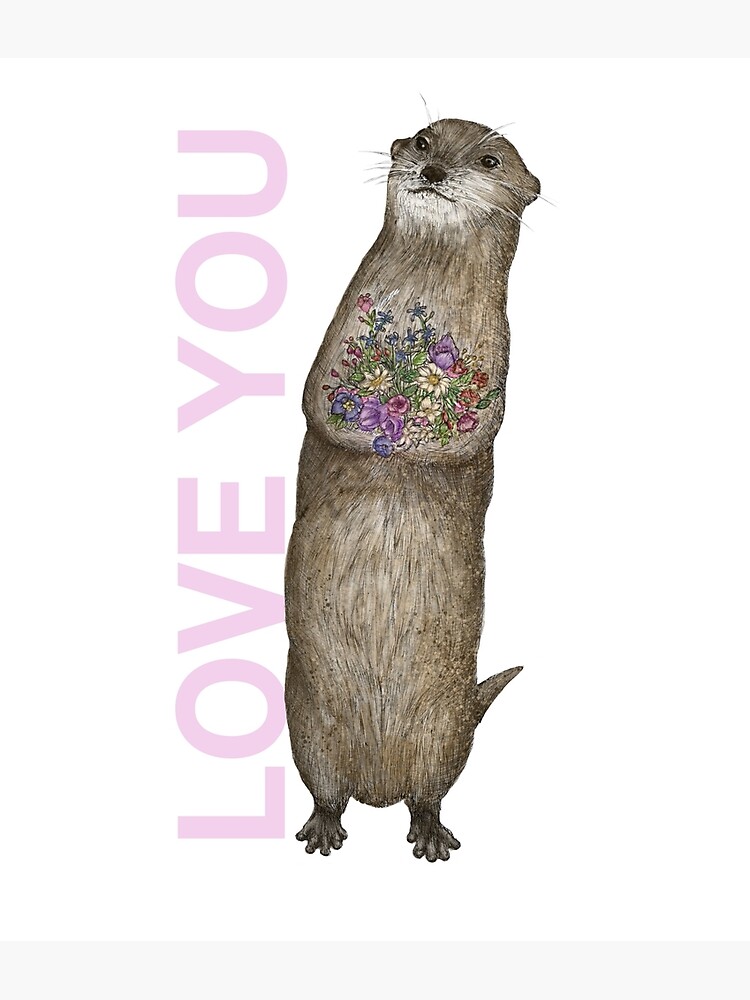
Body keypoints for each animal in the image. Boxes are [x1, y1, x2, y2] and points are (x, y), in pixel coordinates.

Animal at [284, 118, 539, 861]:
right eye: (425, 140)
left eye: (489, 159)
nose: (433, 169)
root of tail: (378, 785)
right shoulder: (337, 336)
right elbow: (324, 399)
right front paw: (379, 430)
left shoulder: (495, 360)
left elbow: (474, 422)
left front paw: (414, 434)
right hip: (306, 723)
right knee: (325, 788)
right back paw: (324, 829)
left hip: (445, 733)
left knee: (431, 792)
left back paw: (430, 835)